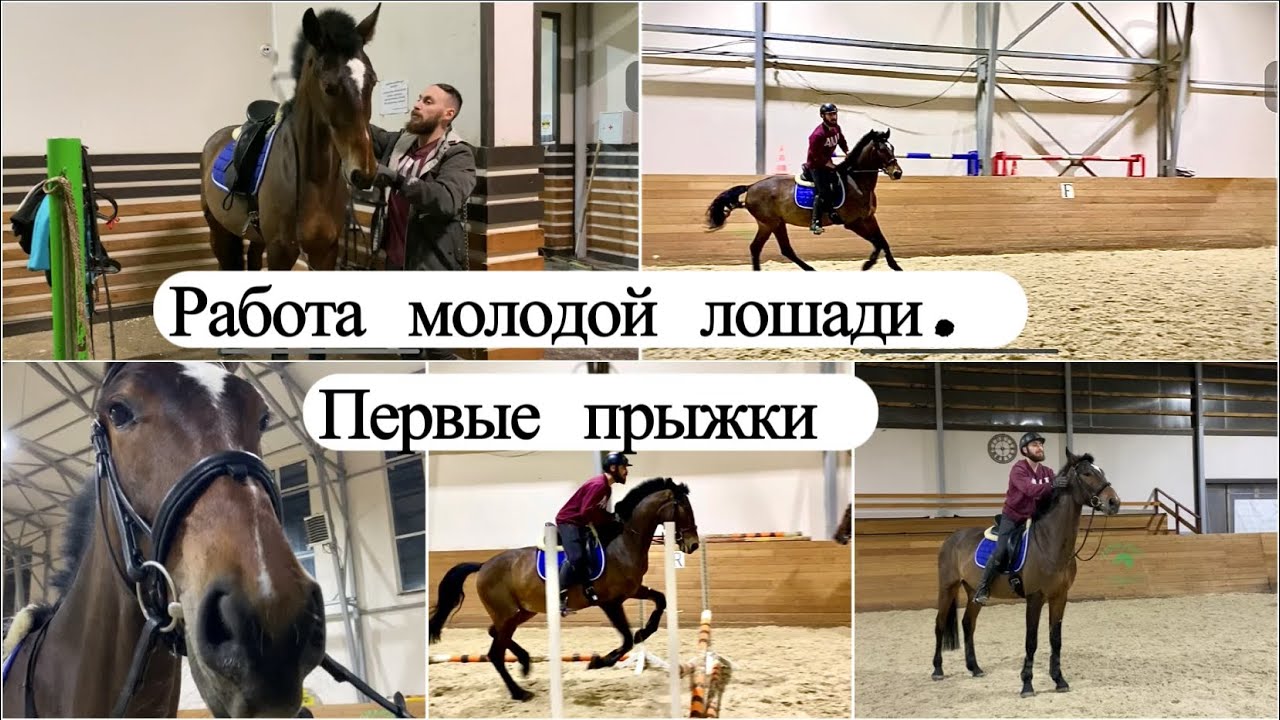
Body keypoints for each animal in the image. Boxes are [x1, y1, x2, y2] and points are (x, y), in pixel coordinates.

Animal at [199, 5, 381, 272]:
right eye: (328, 87)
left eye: (373, 81)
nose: (364, 173)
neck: (315, 181)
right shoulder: (281, 251)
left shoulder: (326, 252)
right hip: (218, 230)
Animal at [427, 477, 701, 702]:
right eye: (685, 508)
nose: (694, 545)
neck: (624, 542)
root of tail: (483, 565)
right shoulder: (610, 602)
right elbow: (625, 639)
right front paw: (599, 661)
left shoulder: (632, 590)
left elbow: (660, 601)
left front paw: (643, 632)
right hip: (508, 614)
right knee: (495, 653)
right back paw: (519, 692)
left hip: (520, 612)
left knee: (494, 633)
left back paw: (524, 662)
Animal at [704, 129, 905, 272]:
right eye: (881, 149)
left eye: (892, 148)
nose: (897, 173)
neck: (856, 181)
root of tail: (751, 187)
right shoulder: (852, 223)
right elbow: (877, 242)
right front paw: (868, 265)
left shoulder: (869, 218)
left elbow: (882, 241)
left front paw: (895, 266)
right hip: (771, 223)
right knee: (776, 248)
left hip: (770, 224)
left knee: (764, 248)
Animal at [931, 449, 1121, 697]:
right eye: (1087, 473)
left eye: (1102, 471)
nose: (1114, 502)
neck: (1049, 542)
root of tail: (952, 538)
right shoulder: (1035, 597)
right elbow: (1031, 640)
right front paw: (1027, 684)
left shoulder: (1059, 597)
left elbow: (1055, 639)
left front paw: (1059, 680)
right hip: (947, 587)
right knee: (940, 624)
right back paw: (937, 670)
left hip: (973, 591)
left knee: (967, 624)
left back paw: (975, 668)